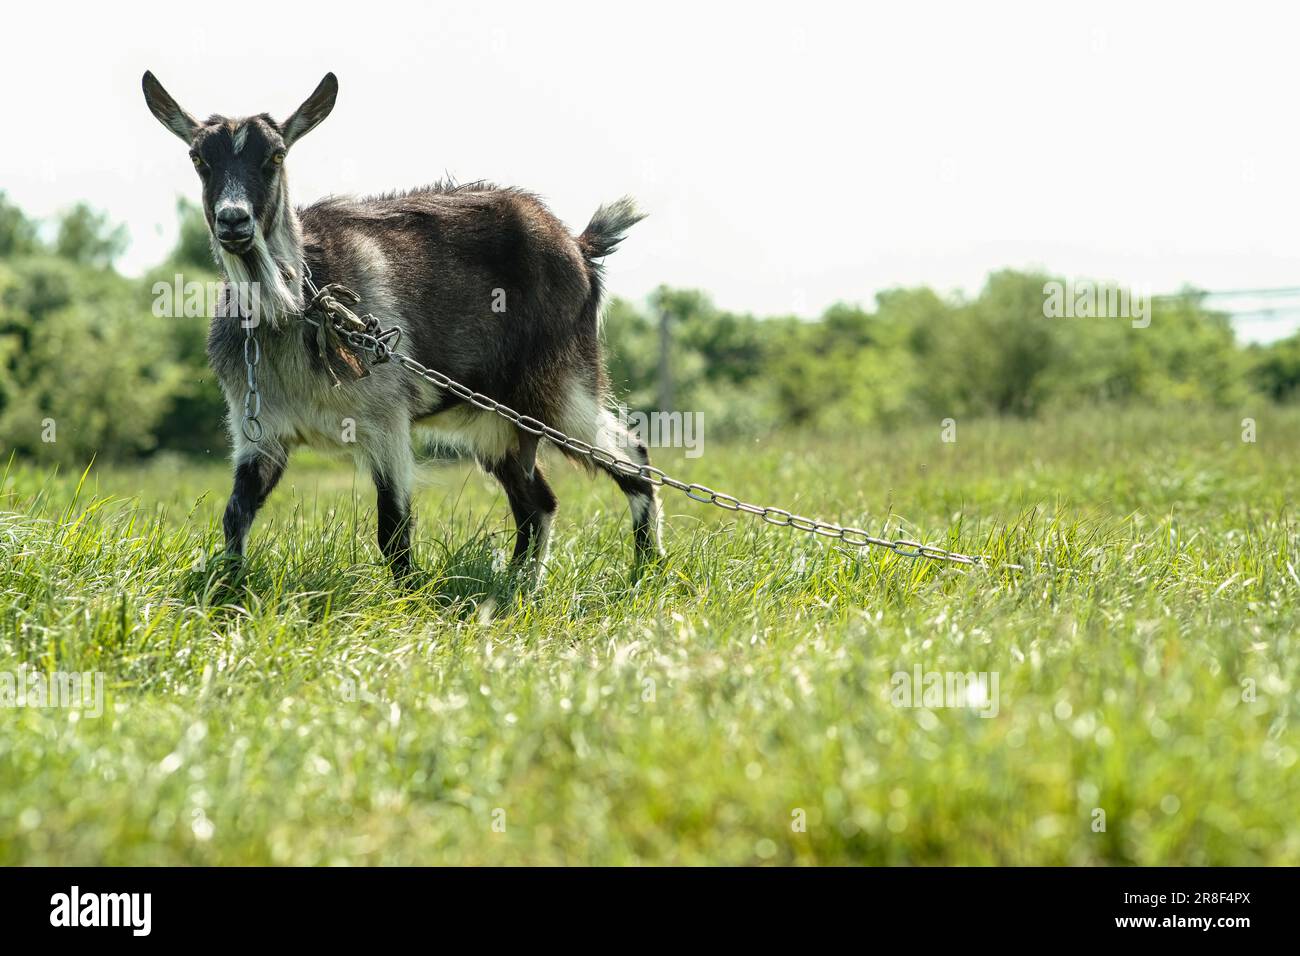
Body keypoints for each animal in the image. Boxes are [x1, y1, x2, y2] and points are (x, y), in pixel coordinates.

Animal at [142, 71, 663, 585]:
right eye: (199, 159)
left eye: (276, 155)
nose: (234, 221)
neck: (296, 307)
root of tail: (580, 246)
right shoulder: (259, 435)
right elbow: (235, 515)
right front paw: (227, 589)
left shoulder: (386, 423)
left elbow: (393, 529)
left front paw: (408, 597)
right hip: (495, 420)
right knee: (539, 503)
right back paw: (519, 587)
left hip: (559, 386)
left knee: (632, 456)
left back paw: (646, 568)